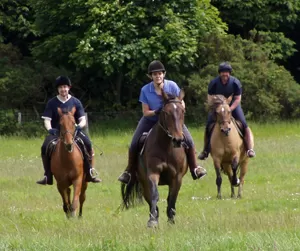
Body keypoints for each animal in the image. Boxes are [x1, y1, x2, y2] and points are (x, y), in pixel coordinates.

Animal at [121, 89, 188, 227]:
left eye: (183, 111)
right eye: (166, 113)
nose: (178, 140)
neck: (166, 147)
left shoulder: (177, 178)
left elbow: (172, 199)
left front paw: (171, 221)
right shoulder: (153, 174)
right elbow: (155, 195)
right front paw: (152, 222)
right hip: (143, 182)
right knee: (149, 198)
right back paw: (154, 217)